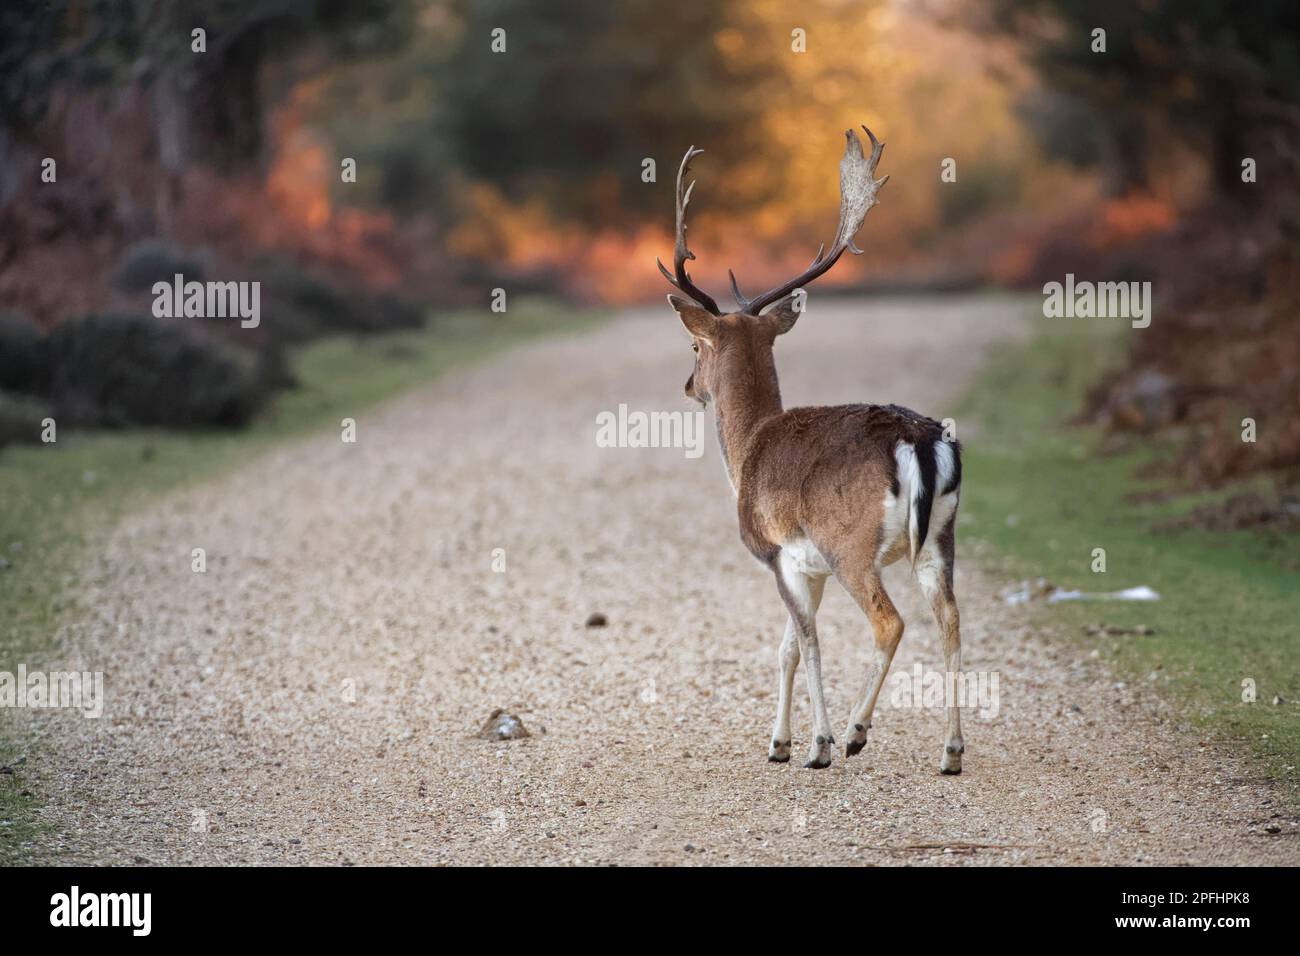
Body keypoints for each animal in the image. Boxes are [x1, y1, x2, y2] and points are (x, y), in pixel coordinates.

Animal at [657, 126, 965, 772]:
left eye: (695, 346)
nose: (688, 385)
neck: (748, 447)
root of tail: (921, 443)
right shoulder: (808, 567)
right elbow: (787, 648)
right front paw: (778, 743)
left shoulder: (778, 552)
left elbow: (806, 642)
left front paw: (814, 745)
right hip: (941, 537)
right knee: (950, 617)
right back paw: (951, 751)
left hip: (851, 544)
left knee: (890, 622)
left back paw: (853, 732)